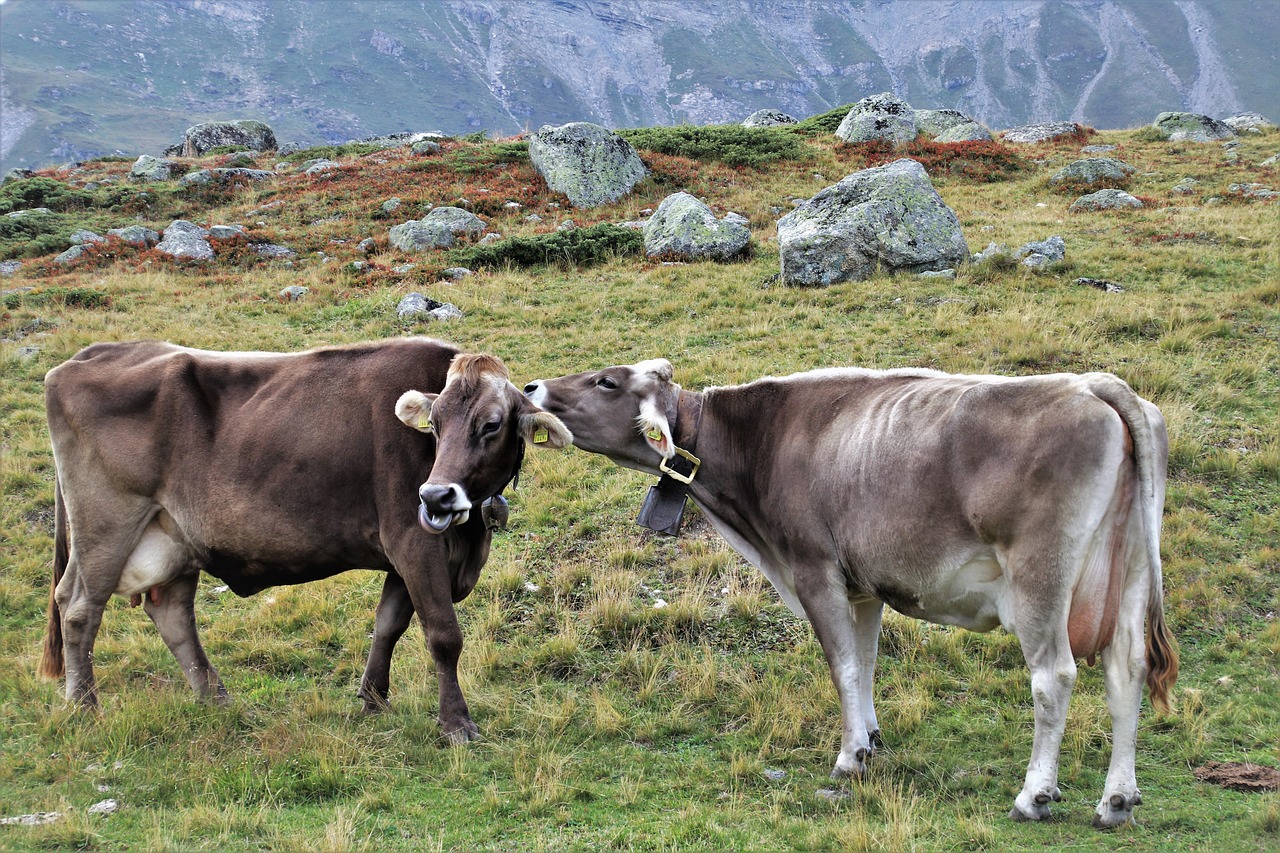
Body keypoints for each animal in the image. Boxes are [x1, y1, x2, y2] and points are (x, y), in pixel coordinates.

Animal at [39, 338, 571, 743]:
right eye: (435, 425)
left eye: (491, 424)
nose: (435, 496)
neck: (468, 537)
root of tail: (91, 355)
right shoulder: (413, 541)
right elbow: (443, 635)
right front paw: (457, 724)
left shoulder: (403, 555)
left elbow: (388, 624)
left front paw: (372, 698)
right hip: (106, 525)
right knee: (79, 607)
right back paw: (84, 707)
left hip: (173, 537)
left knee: (170, 612)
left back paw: (217, 699)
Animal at [524, 359, 1178, 827]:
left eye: (607, 381)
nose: (530, 387)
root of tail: (1091, 384)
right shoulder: (864, 586)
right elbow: (864, 662)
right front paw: (870, 740)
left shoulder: (815, 569)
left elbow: (841, 665)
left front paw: (848, 758)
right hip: (1130, 572)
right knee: (1127, 670)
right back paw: (1117, 801)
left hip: (1040, 578)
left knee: (1053, 678)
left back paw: (1034, 794)